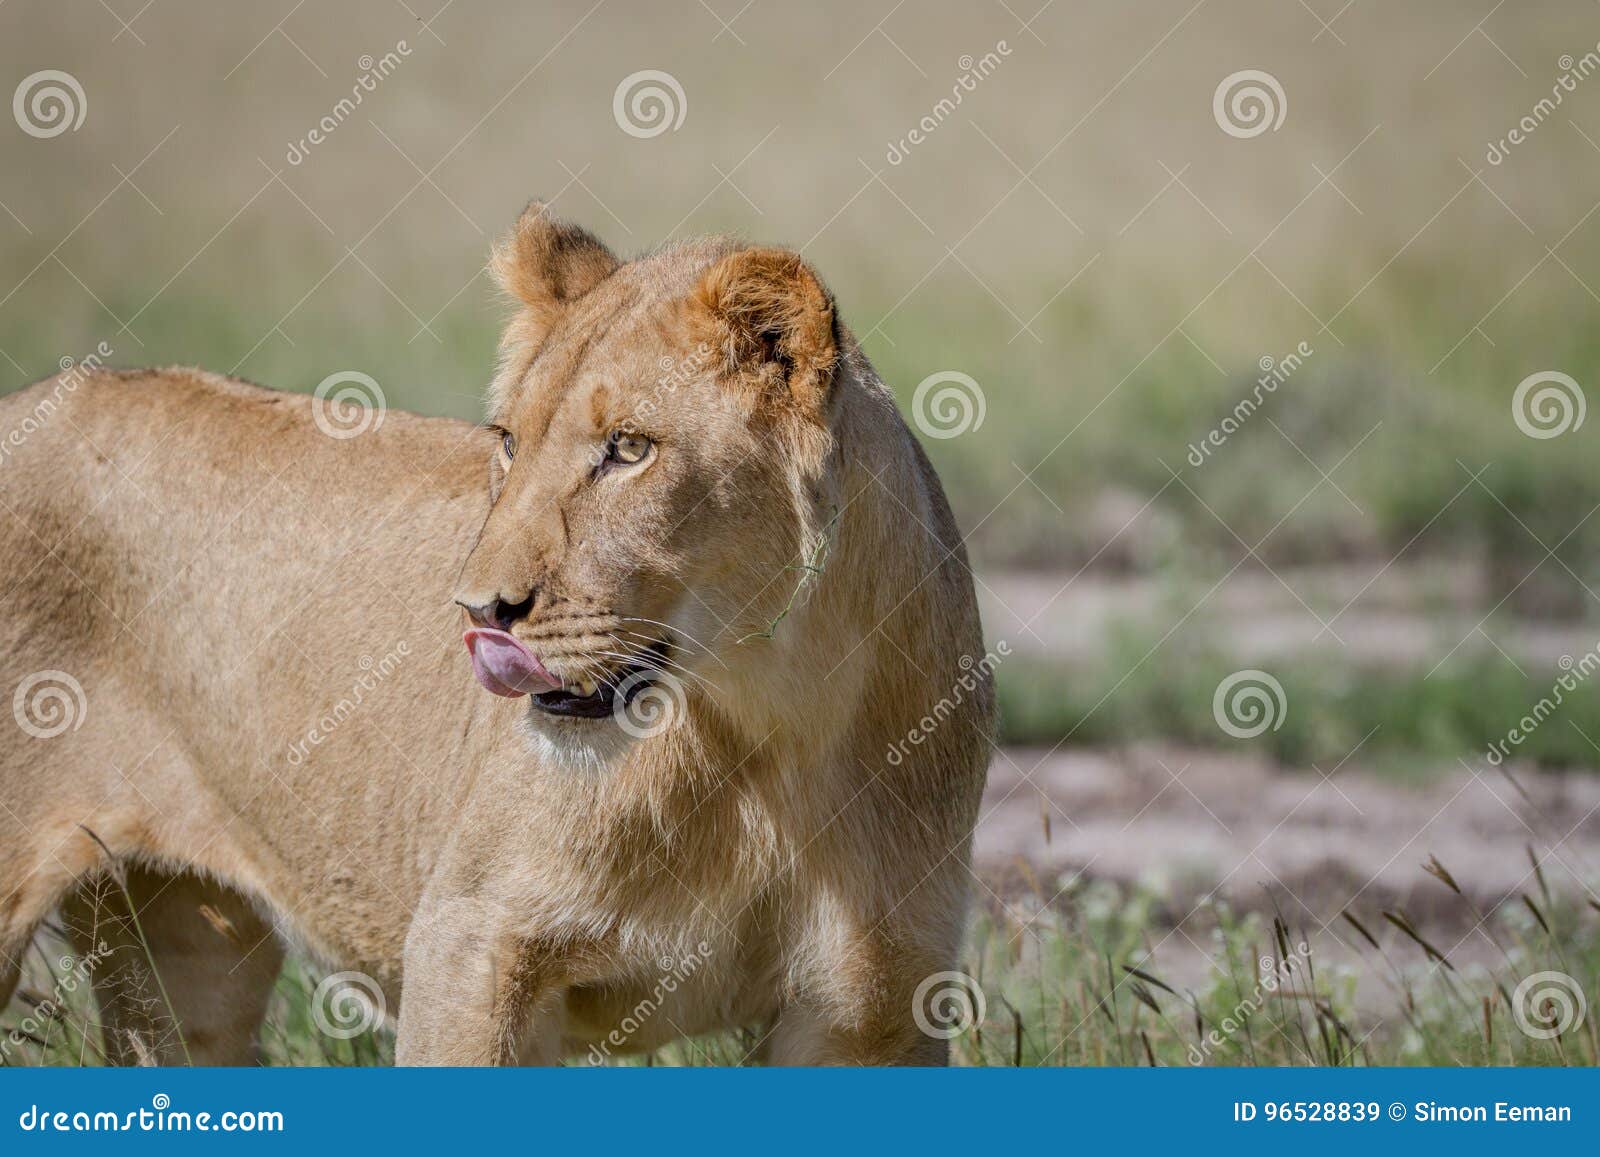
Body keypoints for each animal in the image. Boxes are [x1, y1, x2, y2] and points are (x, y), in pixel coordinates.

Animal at [0, 203, 993, 1065]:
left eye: (630, 449)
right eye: (510, 441)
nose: (478, 610)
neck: (773, 724)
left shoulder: (870, 1007)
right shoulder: (471, 942)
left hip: (182, 943)